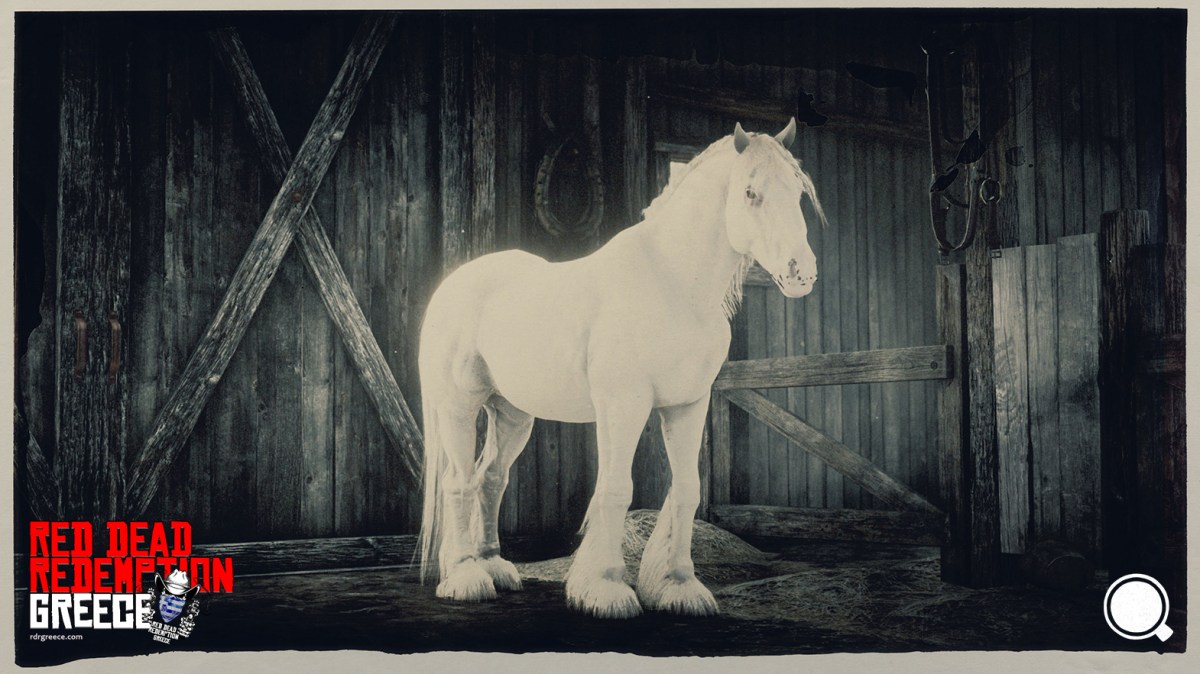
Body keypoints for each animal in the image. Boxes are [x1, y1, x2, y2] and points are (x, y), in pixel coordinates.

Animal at [417, 118, 826, 618]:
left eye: (799, 192)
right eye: (750, 192)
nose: (800, 272)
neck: (672, 285)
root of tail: (451, 286)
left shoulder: (687, 405)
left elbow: (687, 490)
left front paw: (678, 586)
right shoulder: (622, 405)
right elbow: (615, 489)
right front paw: (606, 587)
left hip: (512, 414)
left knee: (491, 479)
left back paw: (495, 567)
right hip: (459, 406)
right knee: (458, 482)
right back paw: (466, 577)